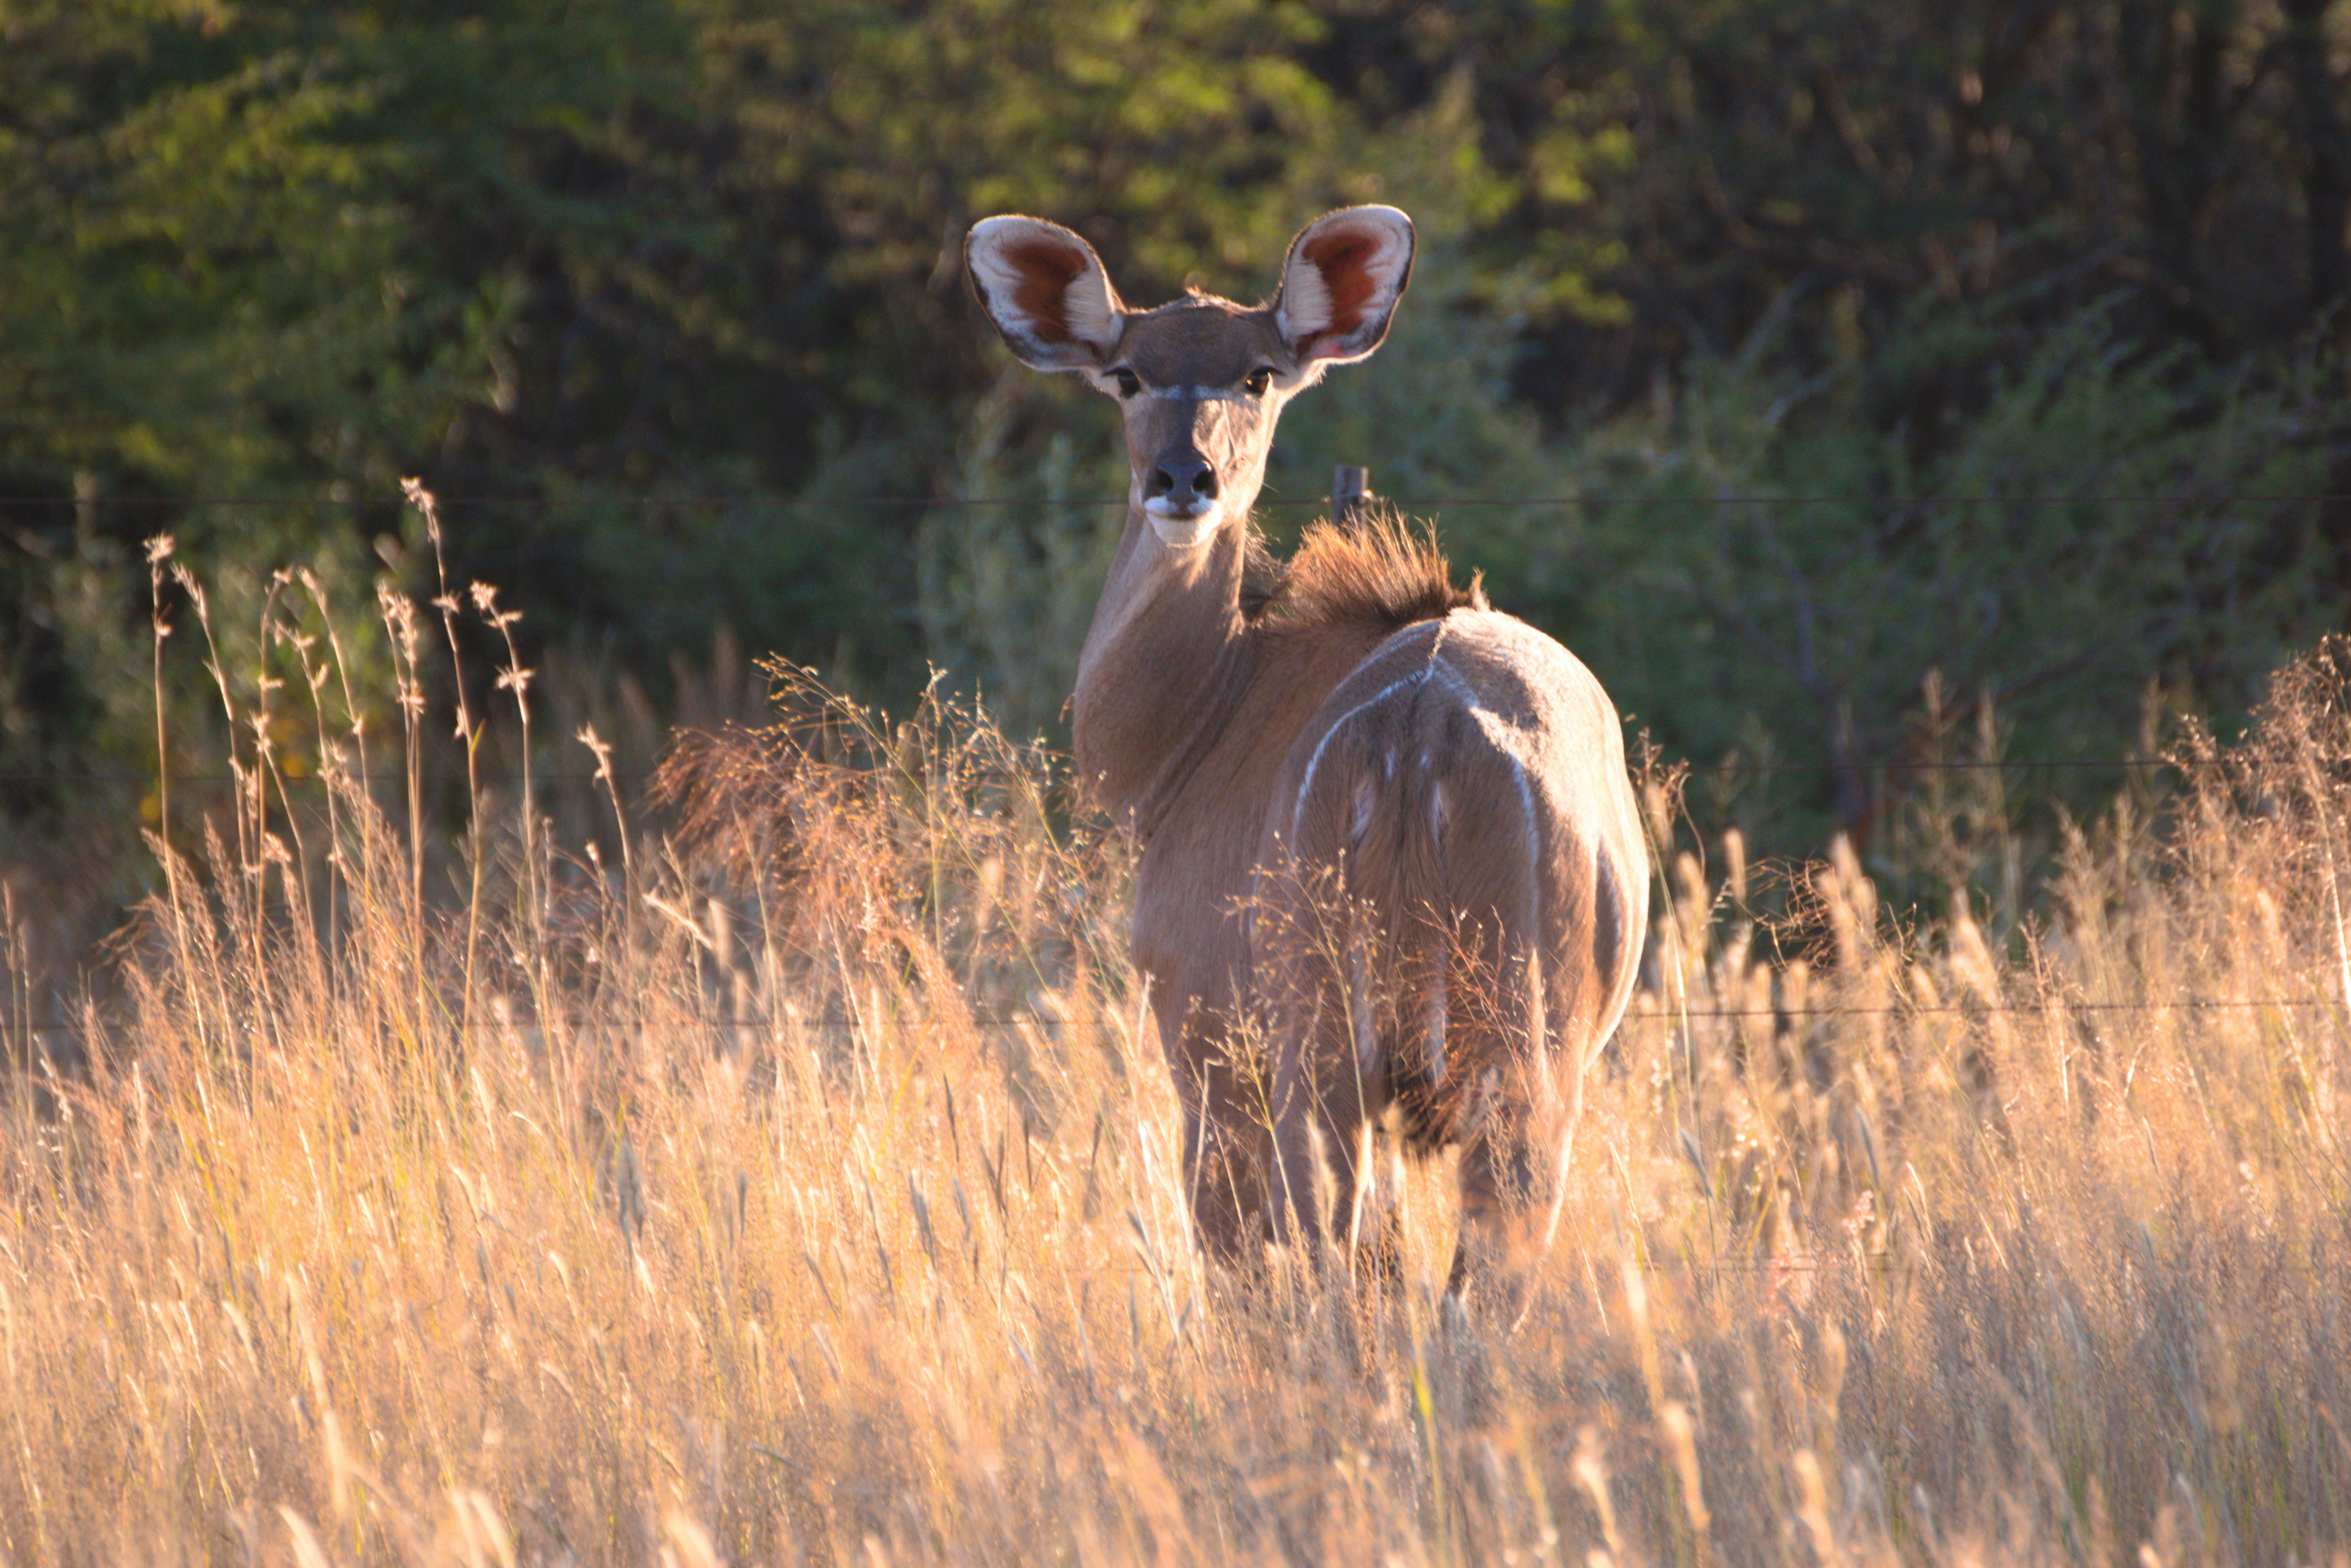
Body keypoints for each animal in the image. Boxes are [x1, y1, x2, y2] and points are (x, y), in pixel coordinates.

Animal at [965, 205, 1649, 1318]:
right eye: (1128, 376)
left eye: (1255, 375)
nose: (1183, 480)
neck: (1203, 719)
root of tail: (1423, 732)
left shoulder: (1202, 1038)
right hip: (1527, 1069)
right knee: (1482, 1272)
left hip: (1322, 1061)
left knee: (1337, 1264)